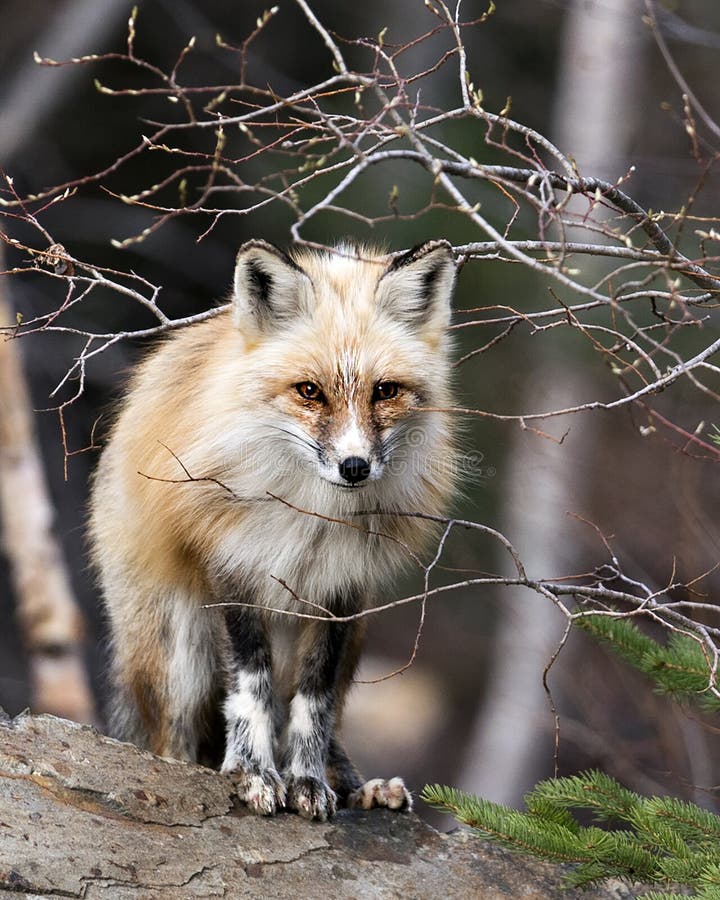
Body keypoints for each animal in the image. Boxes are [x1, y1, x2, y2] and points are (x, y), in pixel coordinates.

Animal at [88, 239, 457, 821]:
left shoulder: (341, 590)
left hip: (357, 639)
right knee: (173, 739)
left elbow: (313, 702)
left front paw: (308, 781)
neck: (311, 520)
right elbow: (250, 688)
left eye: (385, 391)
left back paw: (360, 788)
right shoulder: (231, 566)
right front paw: (252, 772)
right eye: (309, 391)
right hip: (178, 652)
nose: (354, 466)